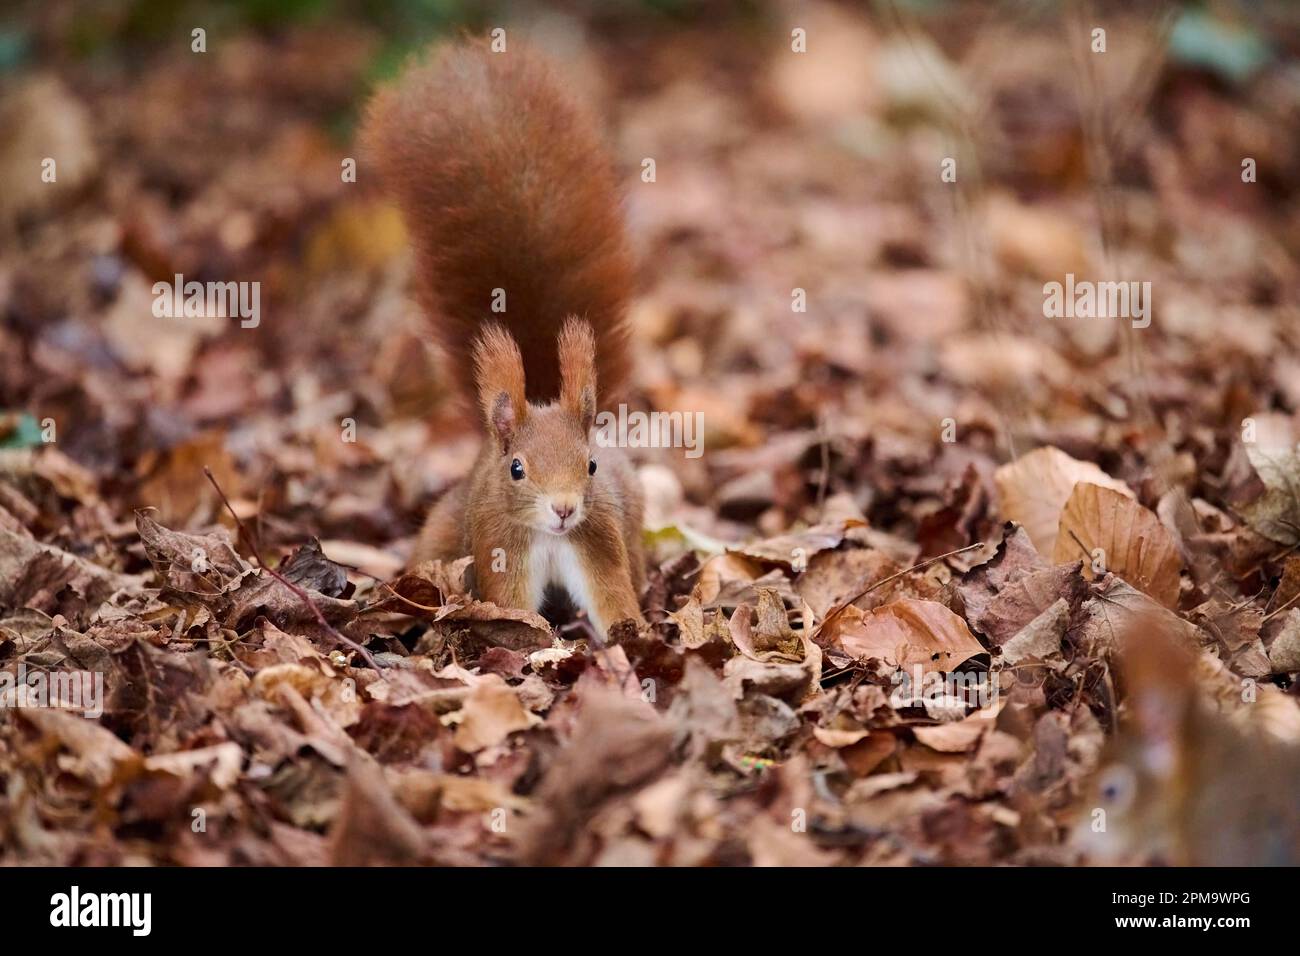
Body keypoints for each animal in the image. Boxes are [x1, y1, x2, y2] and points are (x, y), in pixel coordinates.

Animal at [362, 40, 646, 638]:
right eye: (517, 469)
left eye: (590, 464)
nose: (564, 508)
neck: (549, 536)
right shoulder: (501, 548)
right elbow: (515, 610)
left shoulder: (599, 541)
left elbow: (613, 598)